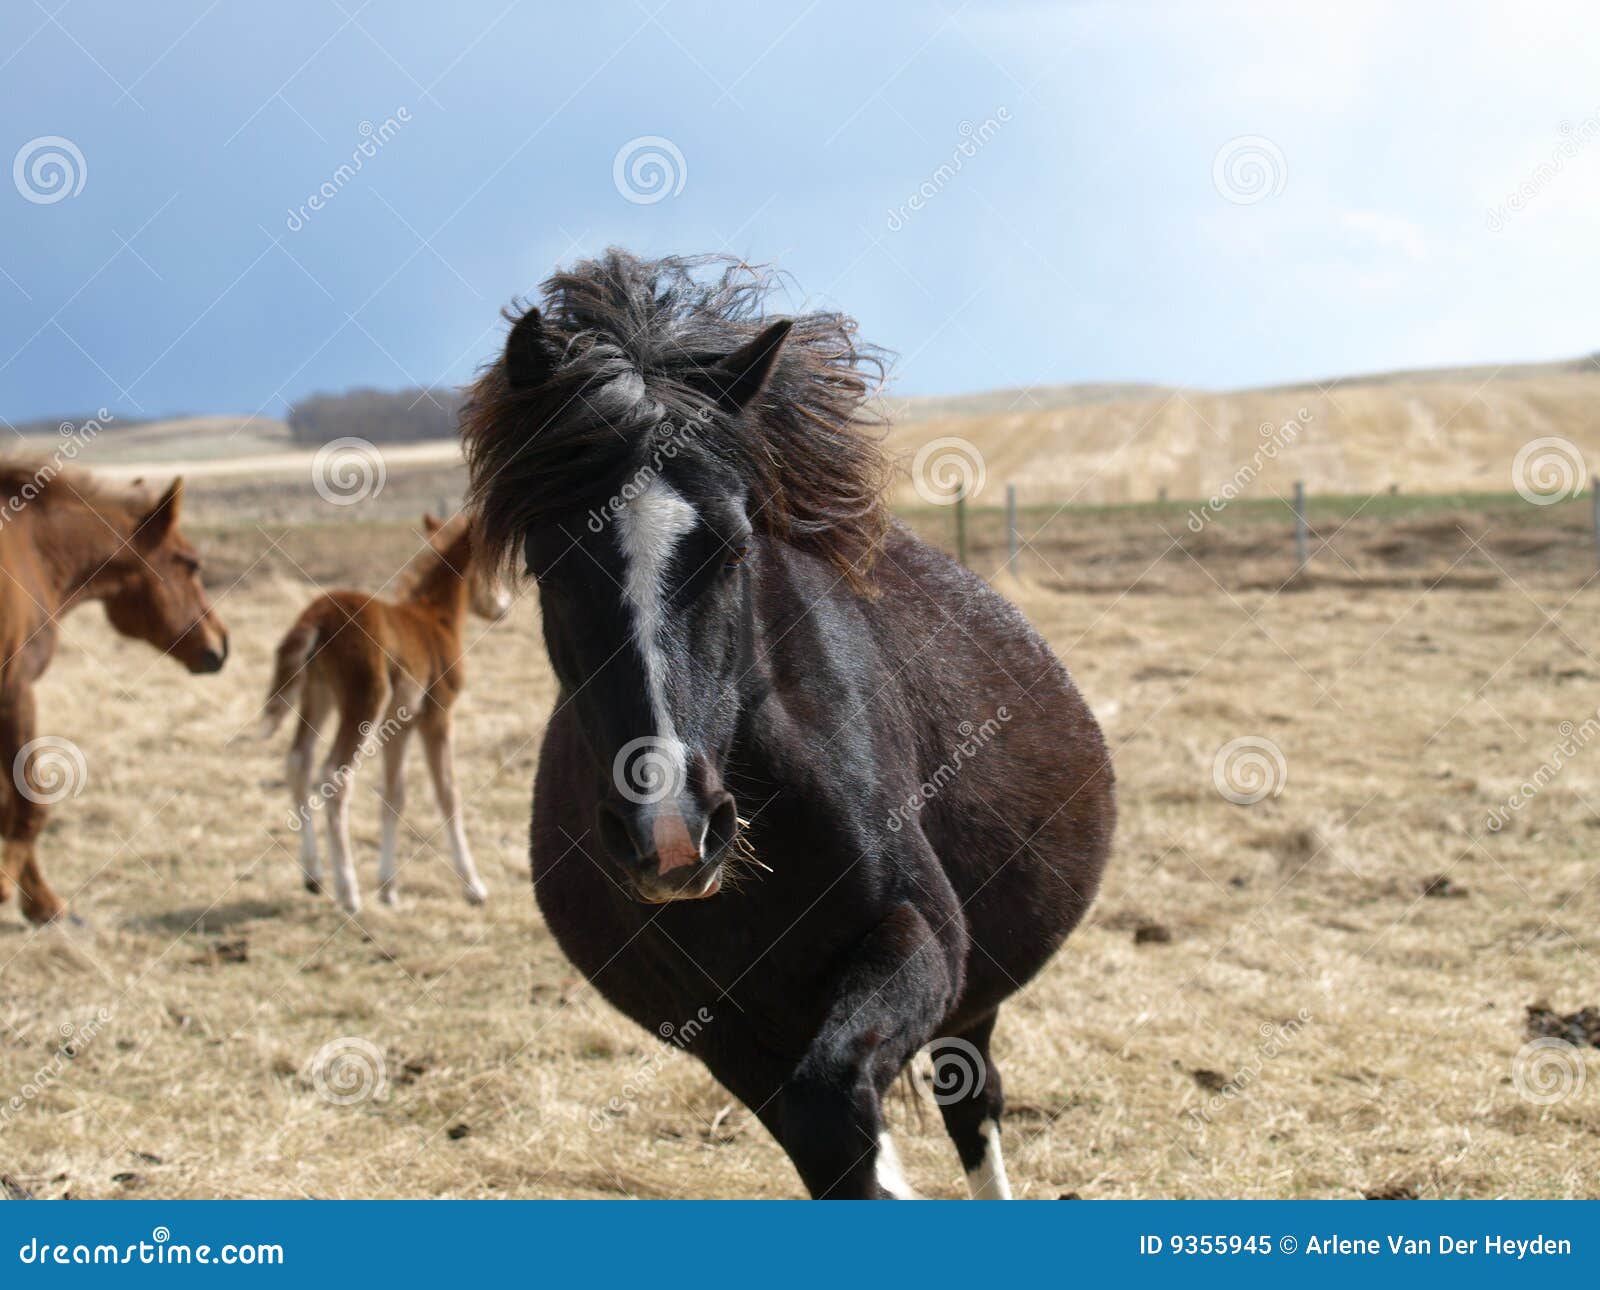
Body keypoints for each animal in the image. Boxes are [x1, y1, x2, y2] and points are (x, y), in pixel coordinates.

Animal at [0, 467, 228, 924]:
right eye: (192, 564)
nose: (221, 644)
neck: (30, 548)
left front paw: (40, 902)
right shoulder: (15, 693)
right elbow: (29, 804)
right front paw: (21, 893)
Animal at [259, 512, 512, 915]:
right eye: (494, 566)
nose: (503, 607)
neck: (434, 618)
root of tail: (318, 617)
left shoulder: (401, 725)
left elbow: (395, 795)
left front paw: (388, 887)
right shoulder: (437, 716)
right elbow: (448, 792)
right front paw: (473, 886)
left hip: (318, 695)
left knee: (298, 760)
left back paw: (313, 876)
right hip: (364, 702)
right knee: (333, 774)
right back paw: (348, 892)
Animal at [461, 251, 1115, 1199]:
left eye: (736, 547)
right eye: (552, 562)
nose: (672, 834)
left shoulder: (922, 936)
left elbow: (845, 1111)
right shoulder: (724, 1030)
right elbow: (830, 1136)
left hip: (973, 999)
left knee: (973, 1103)